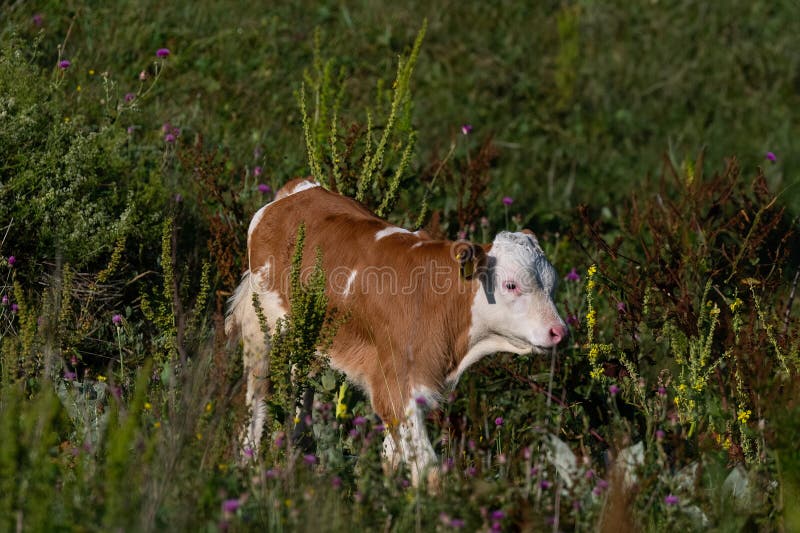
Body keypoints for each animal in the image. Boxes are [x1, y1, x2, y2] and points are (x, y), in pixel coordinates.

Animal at [226, 178, 567, 488]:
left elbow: (392, 456)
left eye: (553, 285)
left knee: (300, 392)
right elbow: (427, 470)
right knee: (257, 396)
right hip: (261, 328)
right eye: (511, 285)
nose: (559, 332)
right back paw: (248, 464)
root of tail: (299, 190)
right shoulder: (398, 383)